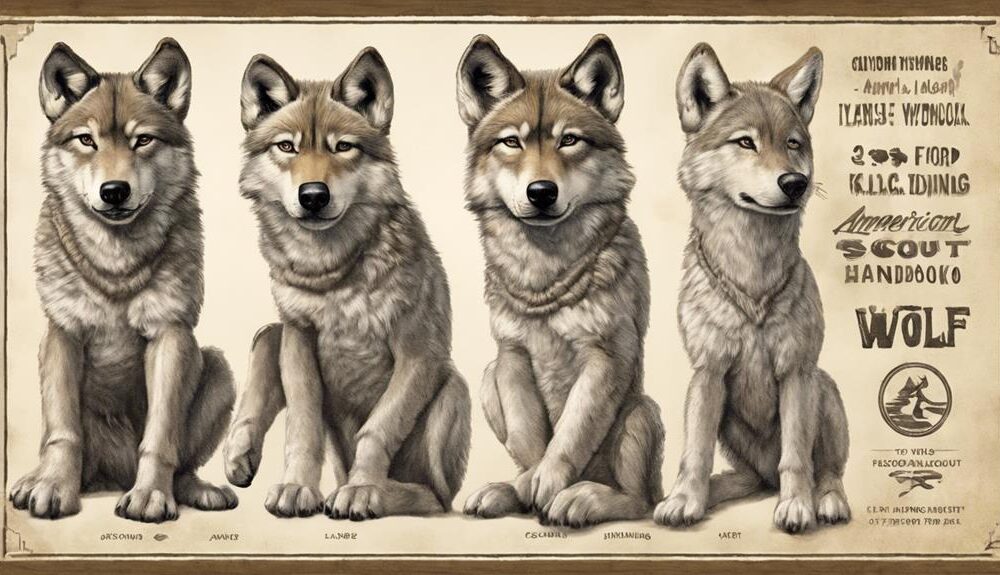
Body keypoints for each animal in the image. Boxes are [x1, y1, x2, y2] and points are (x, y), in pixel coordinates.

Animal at [10, 39, 237, 522]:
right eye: (86, 140)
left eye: (143, 140)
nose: (114, 191)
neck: (116, 263)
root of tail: (115, 473)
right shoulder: (62, 334)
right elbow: (62, 432)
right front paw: (53, 489)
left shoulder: (171, 336)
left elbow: (161, 436)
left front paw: (150, 496)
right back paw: (36, 480)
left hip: (217, 366)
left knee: (183, 463)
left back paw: (197, 490)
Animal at [223, 47, 471, 520]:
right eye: (287, 147)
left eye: (343, 147)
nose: (313, 195)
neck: (331, 274)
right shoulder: (299, 335)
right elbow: (301, 424)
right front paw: (296, 488)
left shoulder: (418, 352)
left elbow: (378, 430)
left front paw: (363, 491)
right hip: (282, 337)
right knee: (265, 339)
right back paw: (240, 455)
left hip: (451, 389)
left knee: (435, 498)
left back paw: (372, 493)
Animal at [456, 34, 664, 527]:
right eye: (512, 142)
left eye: (569, 140)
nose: (541, 192)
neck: (543, 272)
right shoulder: (511, 357)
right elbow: (531, 437)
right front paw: (528, 488)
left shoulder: (607, 357)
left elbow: (571, 432)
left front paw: (551, 487)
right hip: (489, 378)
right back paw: (506, 490)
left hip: (640, 414)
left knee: (639, 502)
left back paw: (583, 499)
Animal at [654, 43, 851, 533]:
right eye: (745, 142)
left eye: (793, 144)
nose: (795, 183)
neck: (751, 279)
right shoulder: (707, 372)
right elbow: (695, 452)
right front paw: (684, 501)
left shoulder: (797, 371)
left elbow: (797, 457)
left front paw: (797, 507)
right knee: (748, 475)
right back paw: (716, 490)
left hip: (823, 388)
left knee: (826, 470)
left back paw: (827, 501)